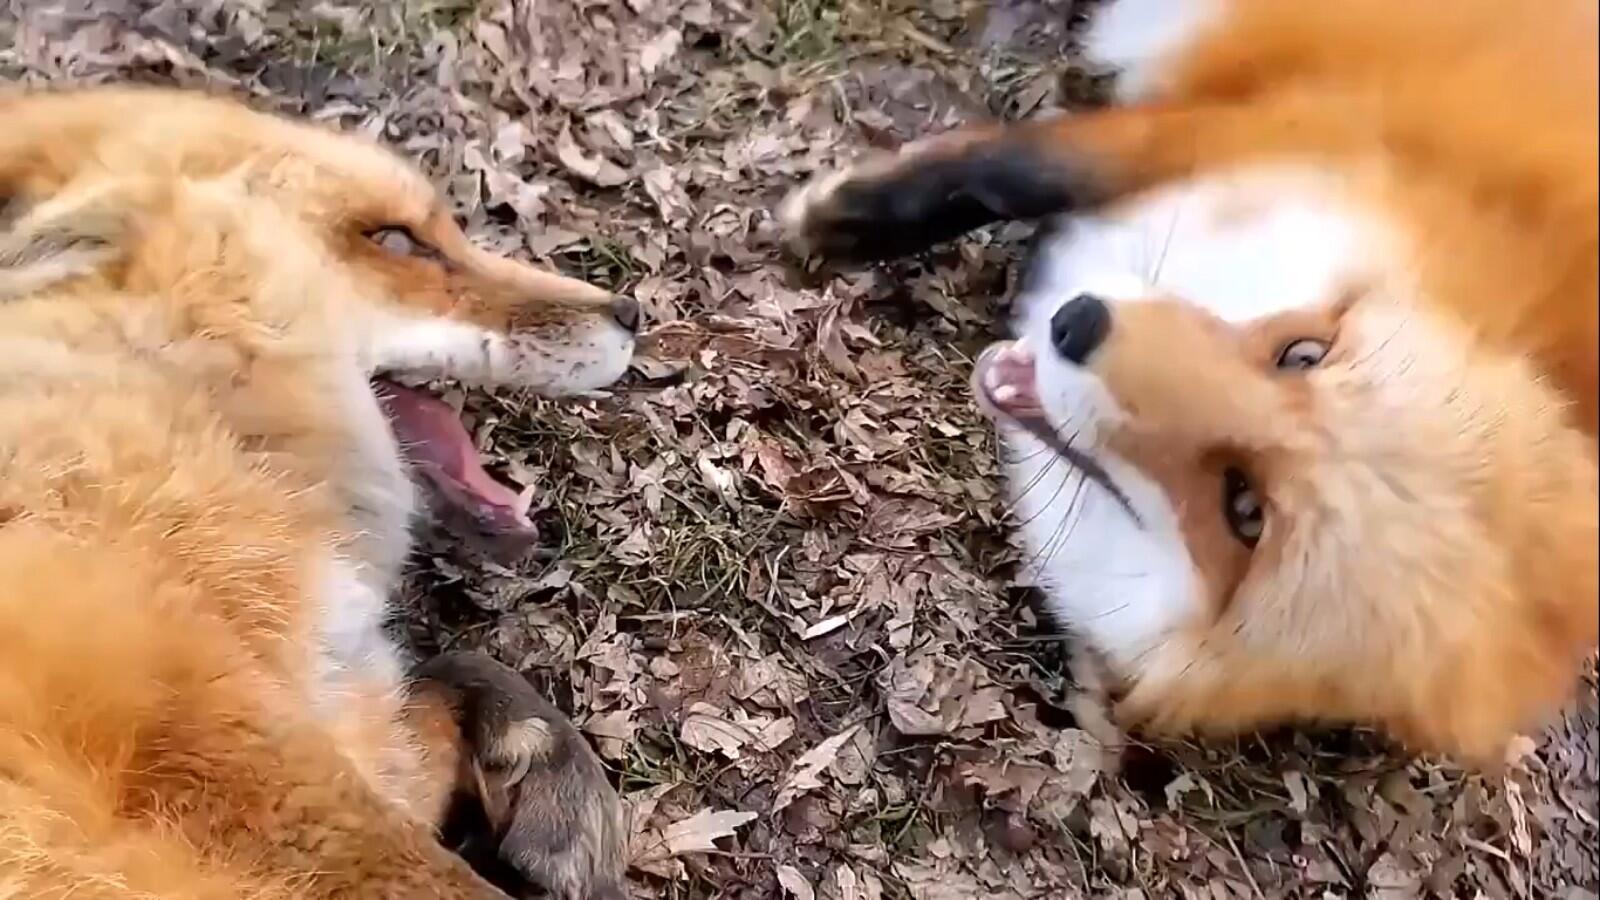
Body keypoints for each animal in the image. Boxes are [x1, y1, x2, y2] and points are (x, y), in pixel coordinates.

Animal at [0, 86, 636, 897]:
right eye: (395, 240)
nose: (632, 313)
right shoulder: (202, 720)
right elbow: (439, 871)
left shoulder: (327, 711)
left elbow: (454, 672)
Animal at [782, 0, 1599, 768]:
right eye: (1303, 354)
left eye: (1244, 509)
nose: (1077, 323)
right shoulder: (1268, 126)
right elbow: (1022, 171)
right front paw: (844, 214)